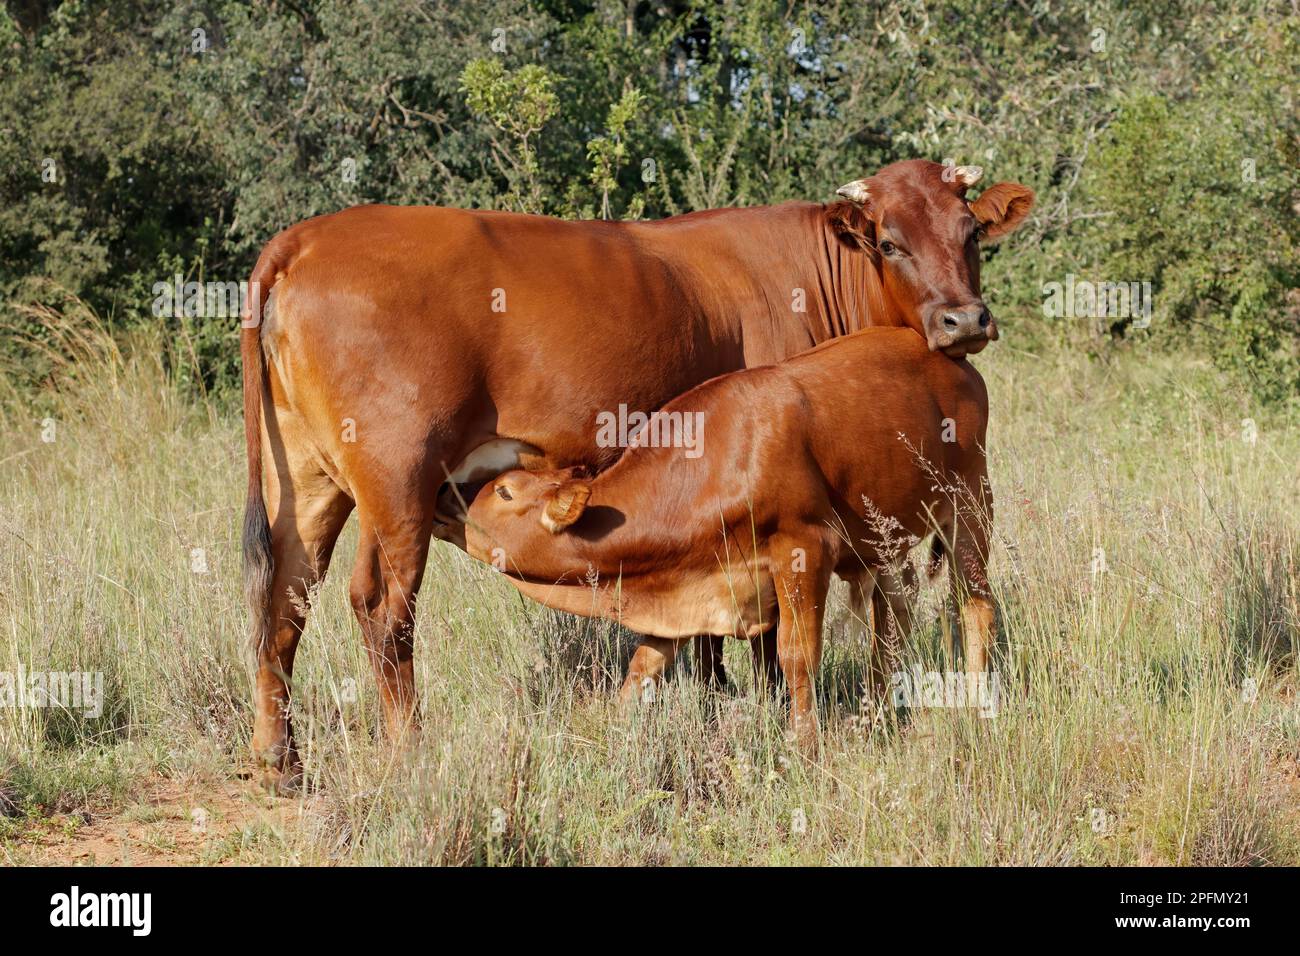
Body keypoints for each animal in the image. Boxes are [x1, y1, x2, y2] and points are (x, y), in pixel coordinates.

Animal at [464, 325, 994, 750]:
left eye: (505, 491)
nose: (463, 510)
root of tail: (952, 361)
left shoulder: (805, 548)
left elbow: (797, 657)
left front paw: (804, 748)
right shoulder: (679, 595)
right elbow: (643, 667)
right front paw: (611, 736)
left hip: (970, 504)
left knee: (975, 605)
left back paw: (976, 704)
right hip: (889, 543)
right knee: (894, 618)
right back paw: (879, 712)